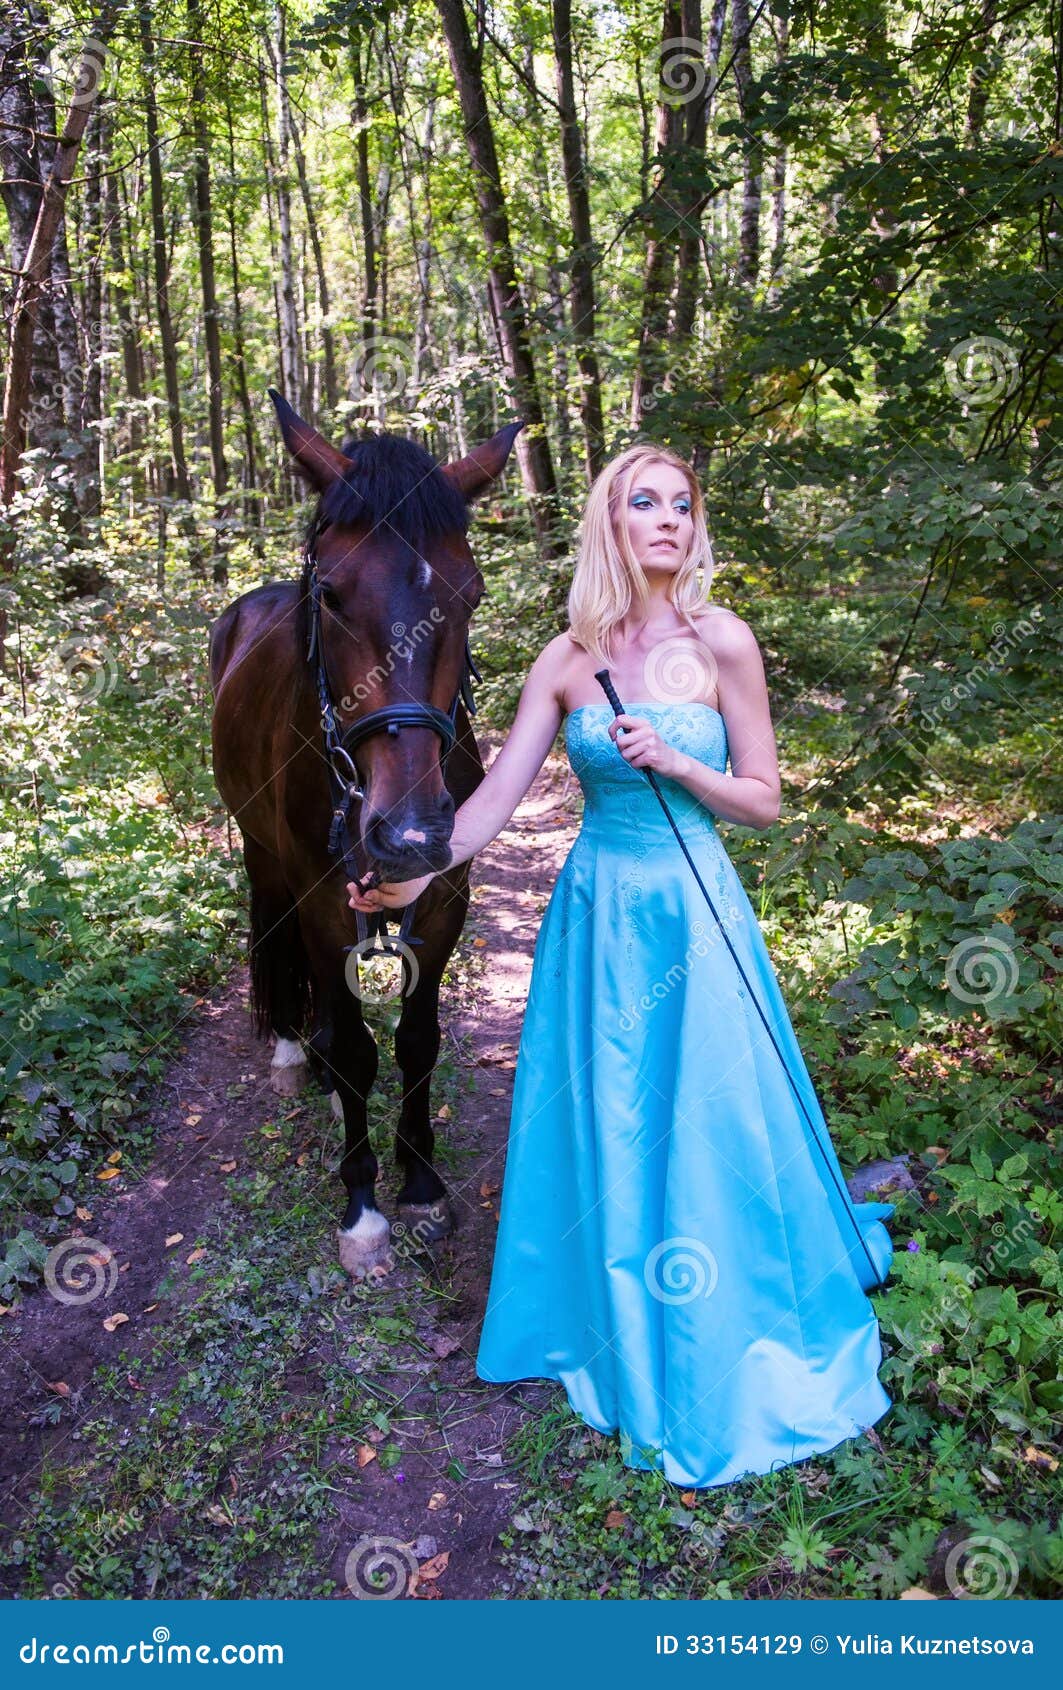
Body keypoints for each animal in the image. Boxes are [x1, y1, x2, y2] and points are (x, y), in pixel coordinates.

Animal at [209, 389, 523, 1279]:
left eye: (470, 594)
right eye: (332, 596)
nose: (407, 832)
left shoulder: (443, 899)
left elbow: (416, 1039)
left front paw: (420, 1185)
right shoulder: (322, 903)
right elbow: (357, 1050)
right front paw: (363, 1208)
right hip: (263, 856)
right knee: (271, 929)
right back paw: (293, 1049)